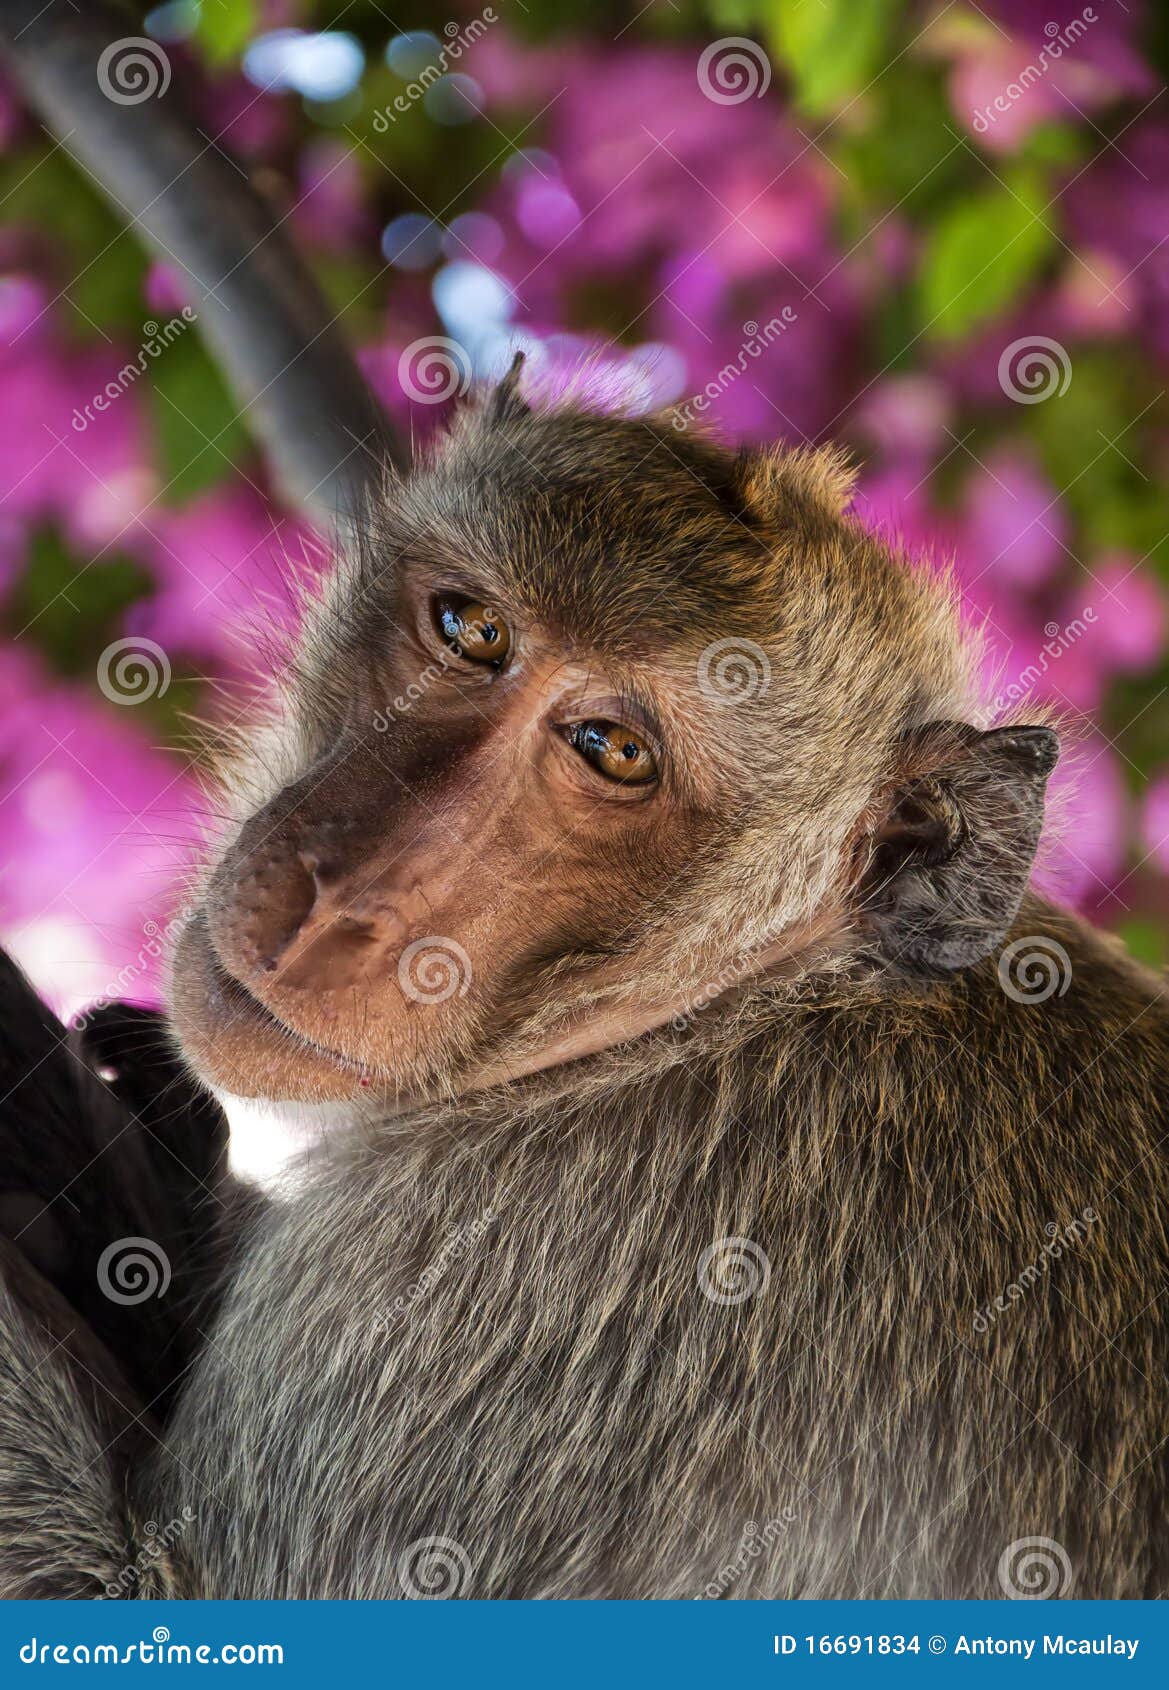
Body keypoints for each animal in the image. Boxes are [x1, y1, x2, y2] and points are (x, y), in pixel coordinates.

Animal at [1, 0, 1167, 1602]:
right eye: (470, 629)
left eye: (612, 749)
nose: (337, 889)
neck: (740, 1003)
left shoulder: (556, 1254)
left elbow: (157, 1595)